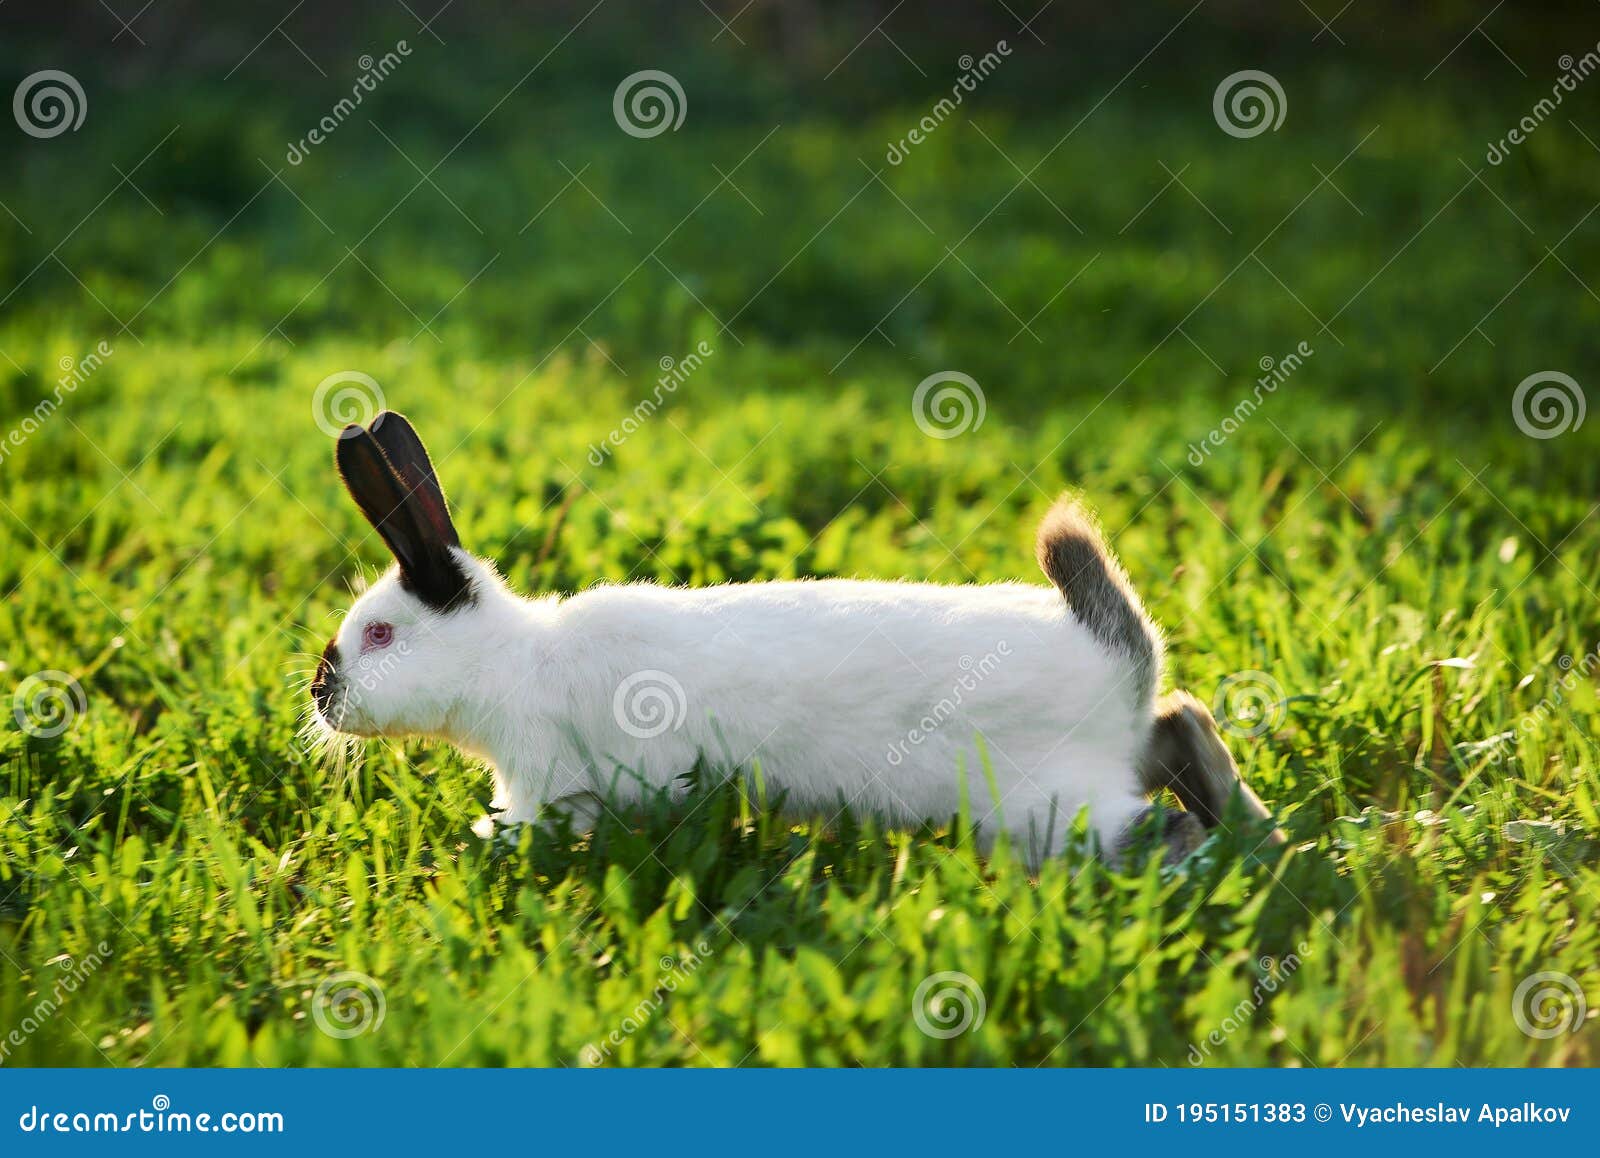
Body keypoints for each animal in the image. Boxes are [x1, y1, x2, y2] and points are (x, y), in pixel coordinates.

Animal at [309, 410, 1284, 867]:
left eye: (380, 634)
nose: (321, 695)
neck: (515, 661)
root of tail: (1116, 657)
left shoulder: (548, 784)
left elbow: (525, 827)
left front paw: (474, 848)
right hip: (1119, 753)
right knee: (1184, 728)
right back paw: (1273, 842)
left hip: (1053, 802)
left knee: (1159, 822)